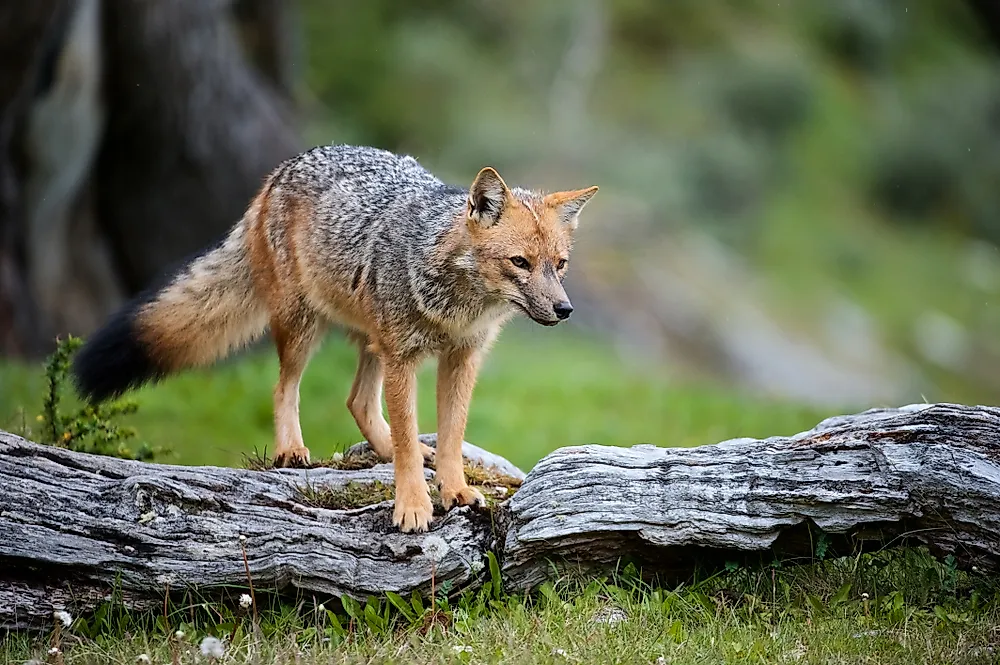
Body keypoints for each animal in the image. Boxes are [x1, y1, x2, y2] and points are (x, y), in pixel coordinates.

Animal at [71, 144, 598, 532]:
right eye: (520, 263)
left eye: (560, 265)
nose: (565, 310)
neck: (456, 306)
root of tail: (283, 169)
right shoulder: (405, 358)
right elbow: (408, 443)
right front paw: (413, 505)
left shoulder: (461, 358)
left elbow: (451, 437)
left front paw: (455, 490)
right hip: (307, 330)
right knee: (284, 388)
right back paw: (292, 450)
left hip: (371, 344)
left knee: (357, 402)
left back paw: (380, 450)